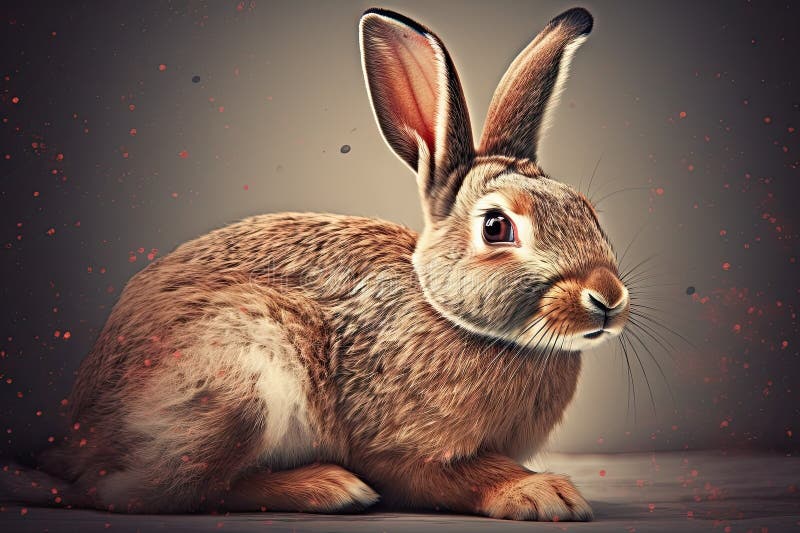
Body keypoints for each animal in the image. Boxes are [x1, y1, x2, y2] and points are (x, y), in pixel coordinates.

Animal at [3, 6, 629, 522]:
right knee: (147, 493)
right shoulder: (401, 447)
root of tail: (82, 439)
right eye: (497, 227)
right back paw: (328, 487)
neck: (447, 312)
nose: (608, 298)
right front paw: (545, 493)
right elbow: (456, 474)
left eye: (588, 212)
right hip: (239, 384)